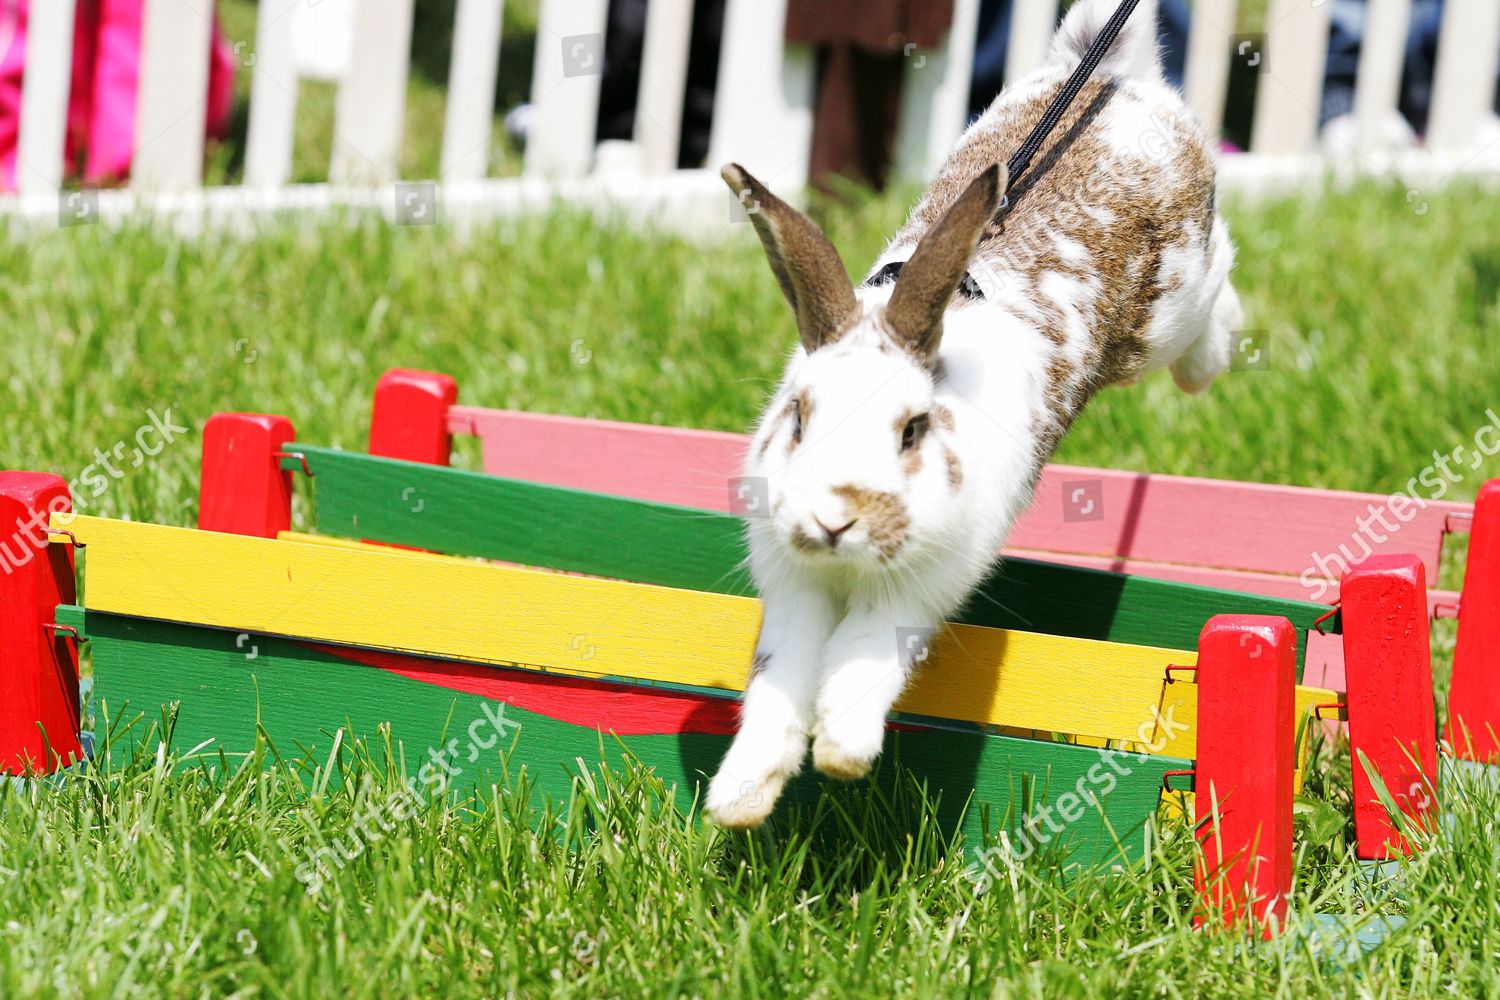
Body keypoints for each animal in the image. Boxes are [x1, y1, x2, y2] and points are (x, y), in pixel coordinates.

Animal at [704, 0, 1243, 829]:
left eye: (913, 430)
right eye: (798, 417)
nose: (834, 517)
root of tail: (1112, 73)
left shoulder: (915, 590)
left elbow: (862, 661)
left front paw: (844, 754)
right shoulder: (794, 590)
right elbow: (778, 682)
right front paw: (740, 799)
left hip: (1175, 305)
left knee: (1223, 286)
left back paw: (1213, 360)